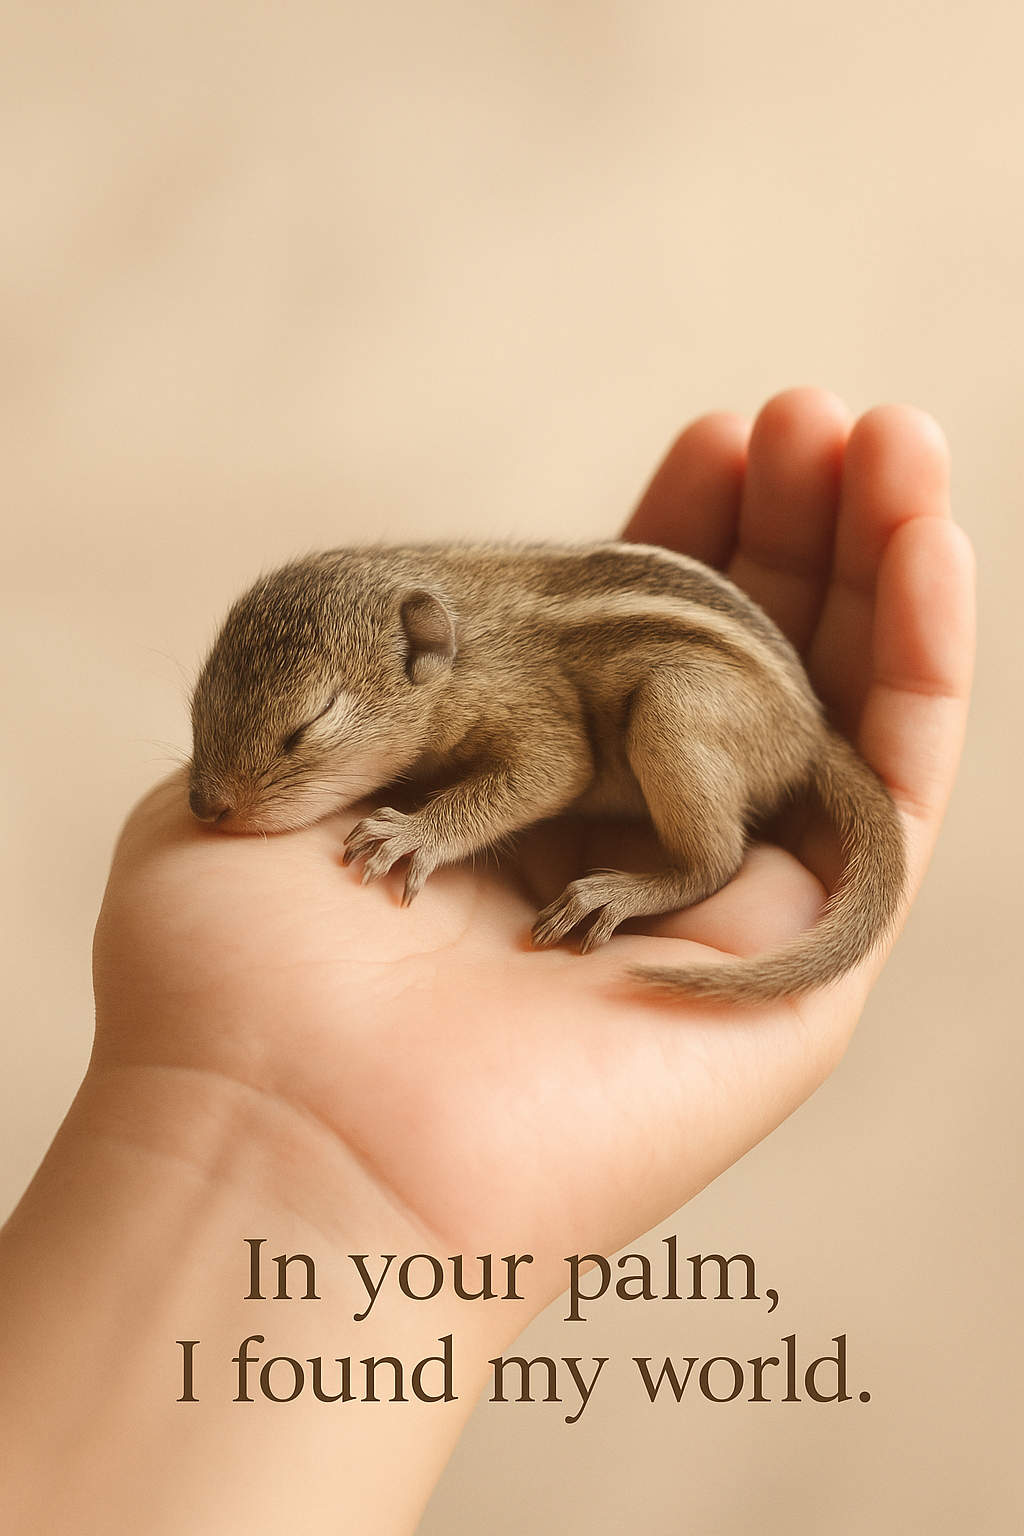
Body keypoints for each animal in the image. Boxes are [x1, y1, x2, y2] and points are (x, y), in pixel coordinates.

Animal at [188, 542, 906, 1005]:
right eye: (196, 700)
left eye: (309, 723)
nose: (202, 804)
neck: (463, 652)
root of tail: (810, 731)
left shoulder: (535, 710)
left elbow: (553, 770)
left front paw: (414, 834)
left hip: (672, 706)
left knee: (718, 863)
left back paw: (619, 894)